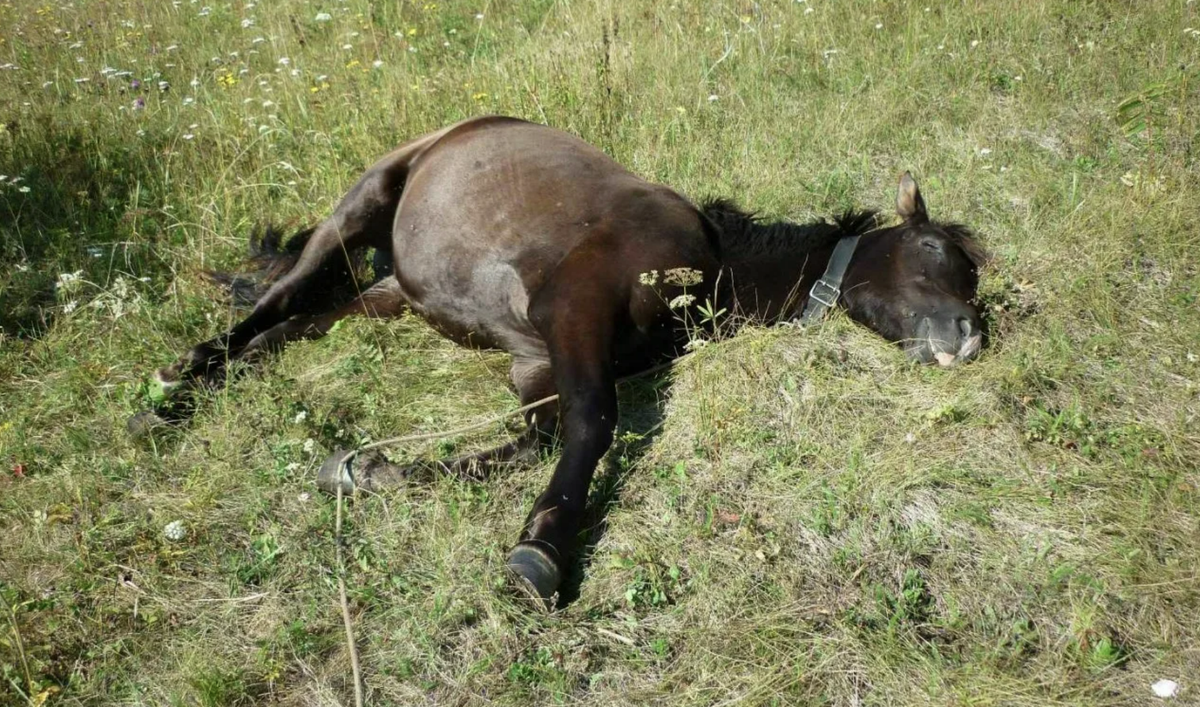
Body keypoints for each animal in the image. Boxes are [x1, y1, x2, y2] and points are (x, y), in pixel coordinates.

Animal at [138, 118, 984, 604]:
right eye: (933, 248)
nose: (968, 335)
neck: (706, 263)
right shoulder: (572, 308)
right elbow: (592, 421)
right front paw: (541, 549)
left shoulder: (537, 362)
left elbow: (531, 439)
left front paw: (367, 468)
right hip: (361, 205)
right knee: (280, 295)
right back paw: (174, 387)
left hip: (392, 294)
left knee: (299, 322)